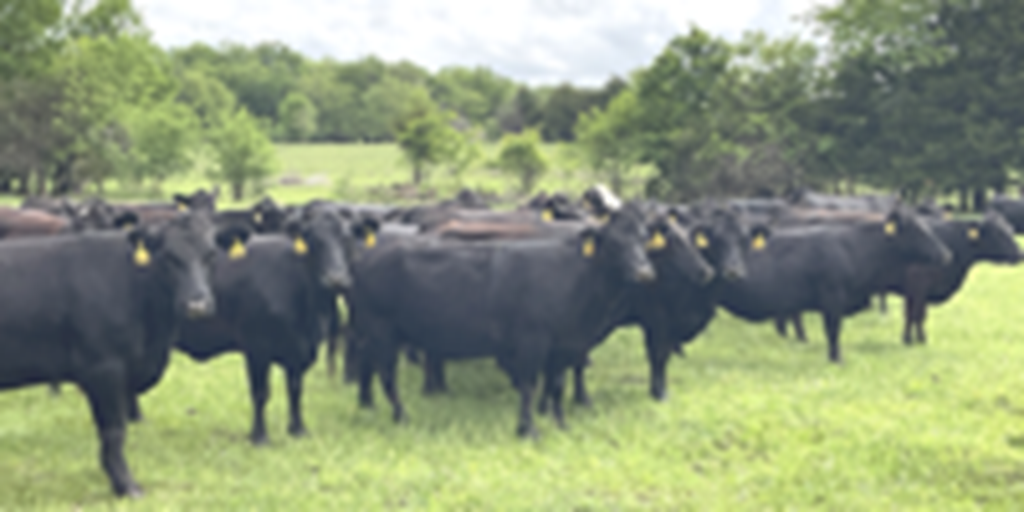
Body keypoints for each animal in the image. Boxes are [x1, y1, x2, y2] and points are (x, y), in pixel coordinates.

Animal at [0, 213, 240, 497]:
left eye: (211, 255)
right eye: (168, 257)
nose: (197, 304)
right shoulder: (104, 368)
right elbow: (114, 432)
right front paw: (126, 485)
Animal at [175, 208, 356, 444]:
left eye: (347, 238)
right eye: (312, 240)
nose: (336, 279)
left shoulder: (299, 350)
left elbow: (295, 389)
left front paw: (298, 429)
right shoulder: (256, 348)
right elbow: (260, 393)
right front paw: (259, 436)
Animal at [347, 203, 663, 437]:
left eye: (644, 239)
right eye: (613, 242)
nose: (644, 272)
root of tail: (366, 256)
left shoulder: (564, 345)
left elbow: (557, 385)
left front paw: (560, 424)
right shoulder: (531, 341)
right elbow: (529, 385)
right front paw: (528, 429)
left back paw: (367, 403)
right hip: (381, 331)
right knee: (387, 375)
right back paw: (401, 416)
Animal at [719, 207, 952, 362]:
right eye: (918, 230)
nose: (946, 254)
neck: (853, 249)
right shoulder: (832, 298)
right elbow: (833, 330)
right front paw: (836, 358)